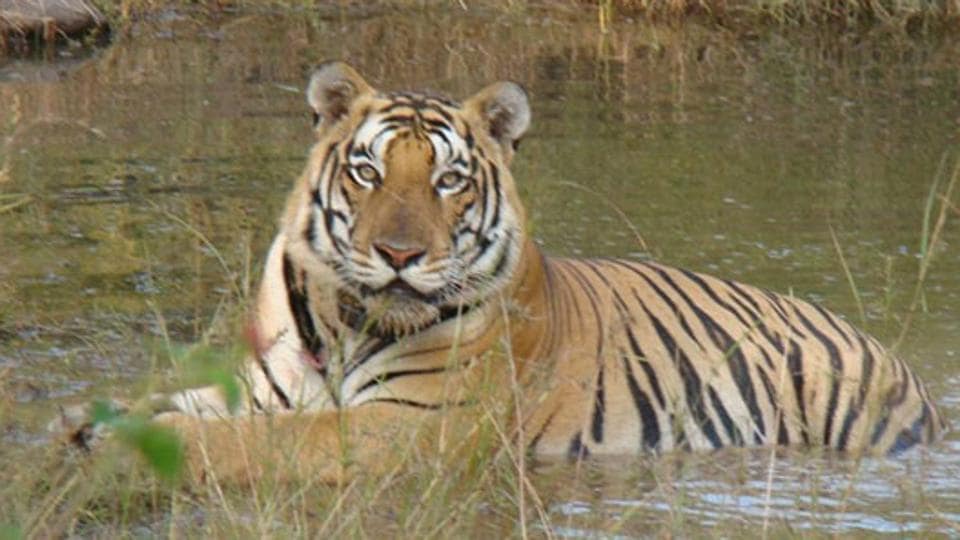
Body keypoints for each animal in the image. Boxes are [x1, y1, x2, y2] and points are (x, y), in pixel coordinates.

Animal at [61, 61, 946, 482]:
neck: (341, 320)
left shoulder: (408, 425)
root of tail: (902, 364)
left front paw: (127, 442)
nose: (400, 255)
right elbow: (182, 400)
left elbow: (264, 442)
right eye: (367, 172)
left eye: (449, 179)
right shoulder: (268, 382)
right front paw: (83, 419)